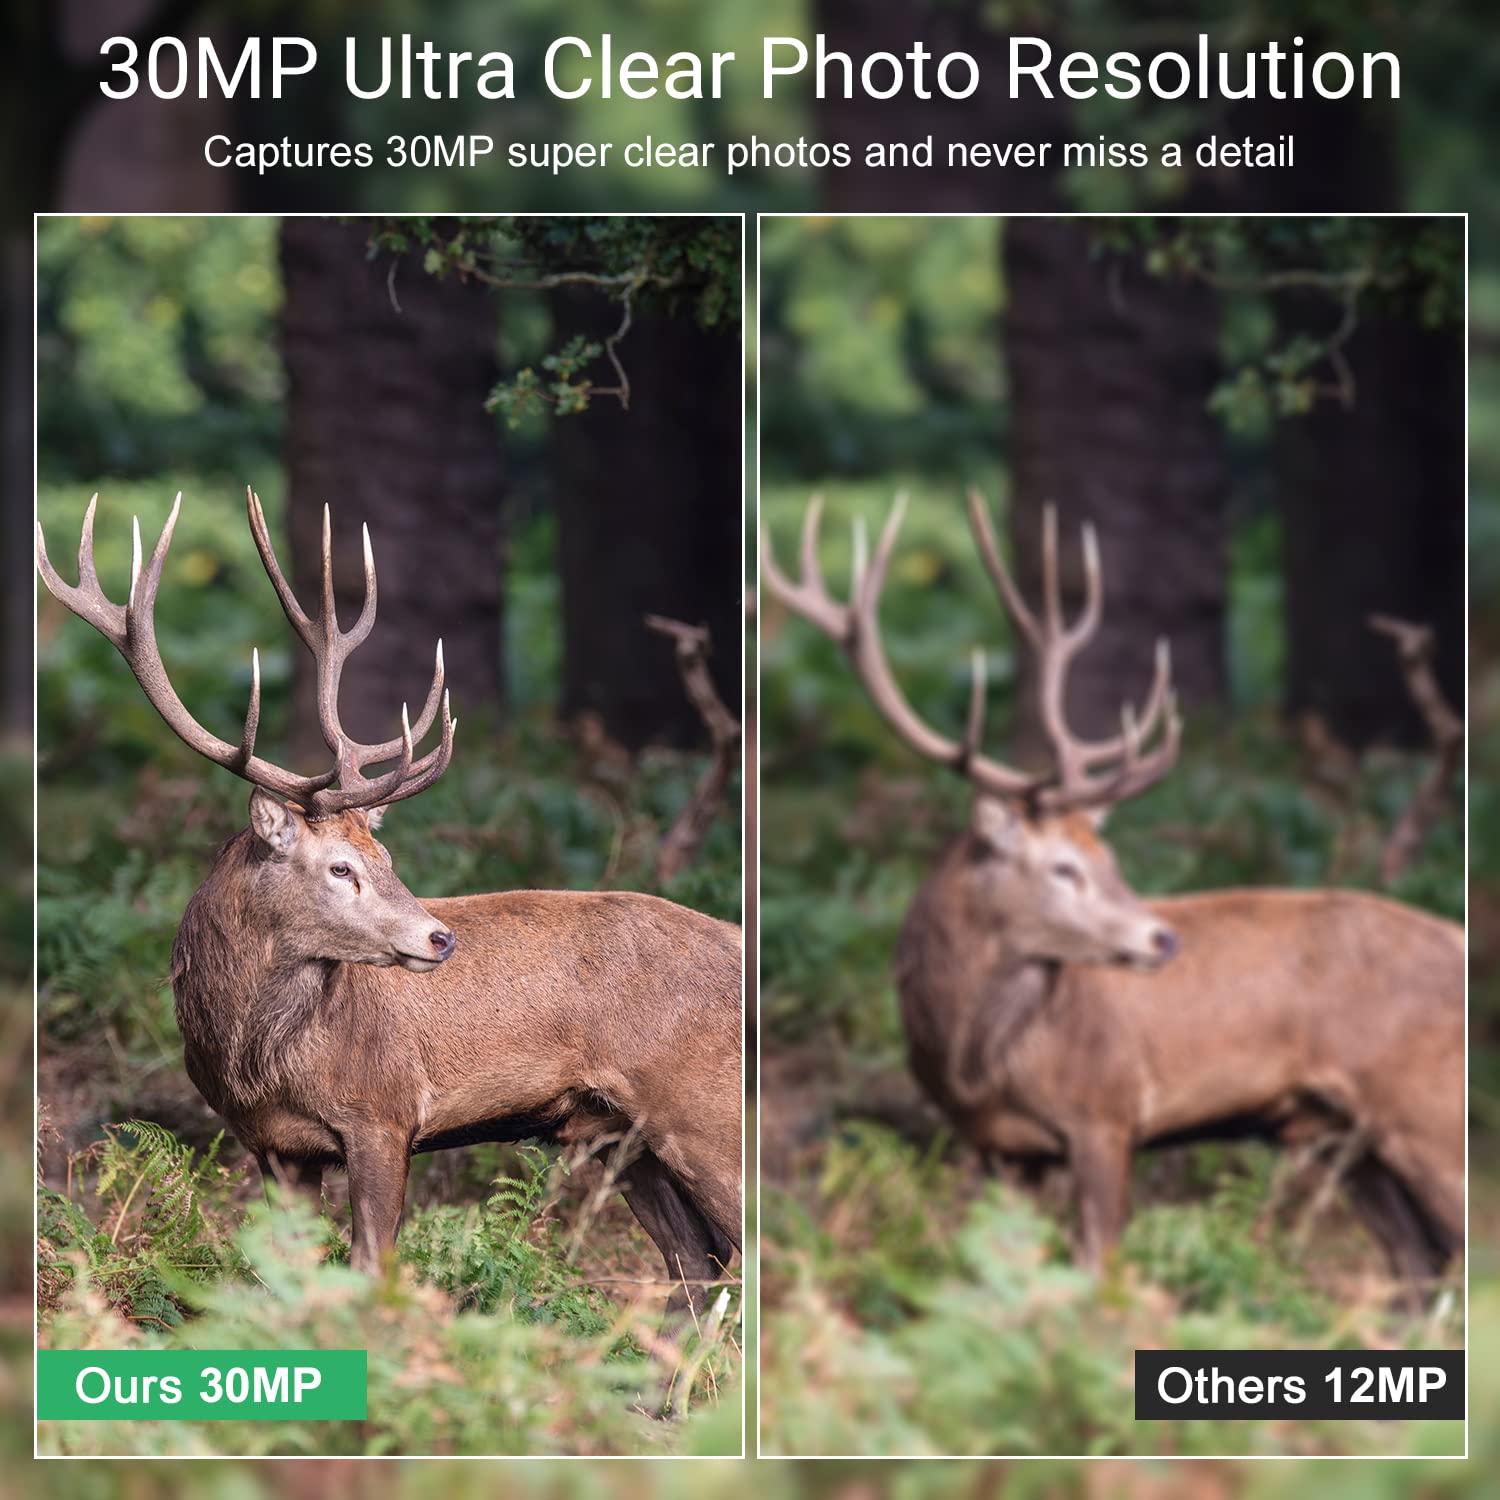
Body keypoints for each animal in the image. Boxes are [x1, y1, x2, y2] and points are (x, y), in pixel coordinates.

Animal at [37, 489, 742, 1325]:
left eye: (388, 861)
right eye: (341, 867)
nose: (440, 938)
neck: (253, 1061)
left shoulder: (382, 1112)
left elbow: (371, 1267)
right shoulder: (274, 1146)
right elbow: (290, 1274)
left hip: (701, 1102)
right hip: (614, 1133)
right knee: (695, 1259)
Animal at [763, 490, 1462, 1292]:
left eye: (1110, 856)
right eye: (1064, 865)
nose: (1162, 936)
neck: (973, 1061)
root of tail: (1463, 942)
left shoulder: (1105, 1110)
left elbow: (1098, 1262)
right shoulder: (999, 1147)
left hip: (1426, 1099)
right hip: (1336, 1134)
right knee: (1418, 1266)